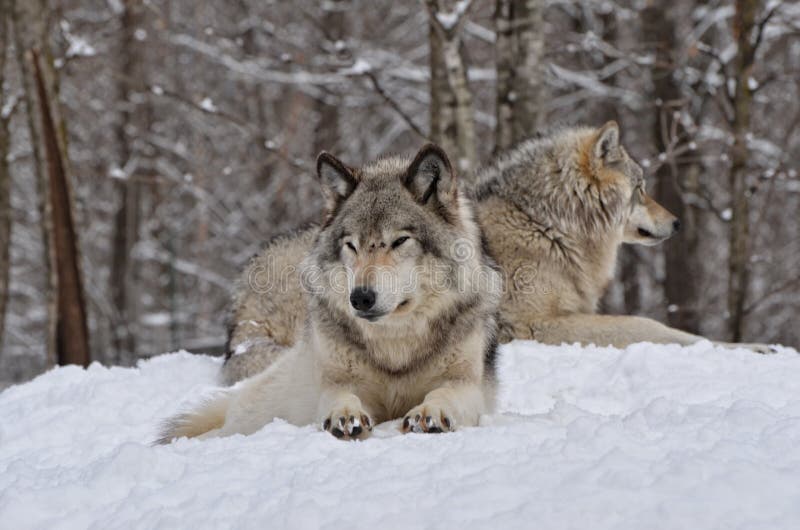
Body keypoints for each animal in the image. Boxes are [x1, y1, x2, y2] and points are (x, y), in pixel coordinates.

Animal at [158, 145, 502, 442]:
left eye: (400, 241)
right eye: (351, 245)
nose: (360, 298)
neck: (395, 346)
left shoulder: (466, 383)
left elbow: (444, 393)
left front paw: (429, 412)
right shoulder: (338, 383)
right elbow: (342, 397)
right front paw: (345, 415)